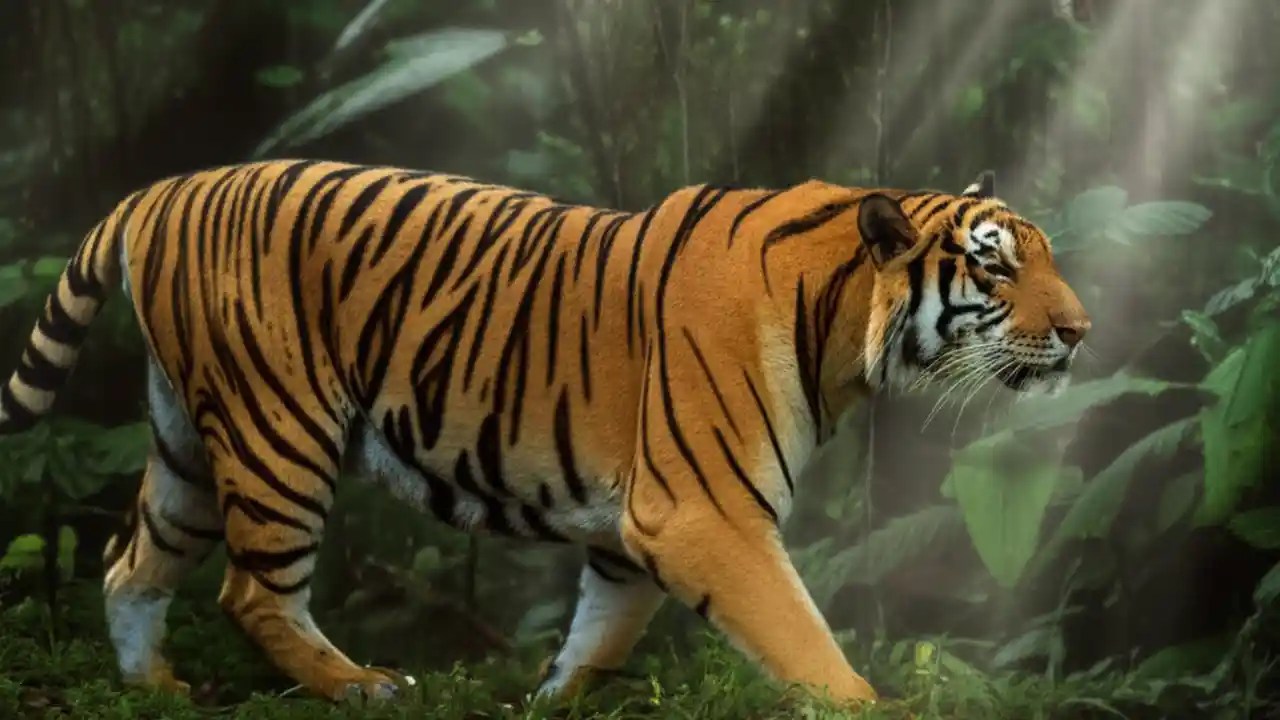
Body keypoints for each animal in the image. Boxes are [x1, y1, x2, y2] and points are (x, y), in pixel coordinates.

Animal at [0, 160, 1089, 706]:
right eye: (995, 266)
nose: (1081, 331)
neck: (840, 332)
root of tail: (162, 188)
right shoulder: (701, 514)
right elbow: (800, 636)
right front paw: (863, 703)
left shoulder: (631, 535)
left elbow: (596, 641)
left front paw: (547, 702)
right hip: (278, 429)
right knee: (250, 593)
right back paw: (362, 686)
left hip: (188, 441)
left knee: (128, 566)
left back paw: (153, 691)